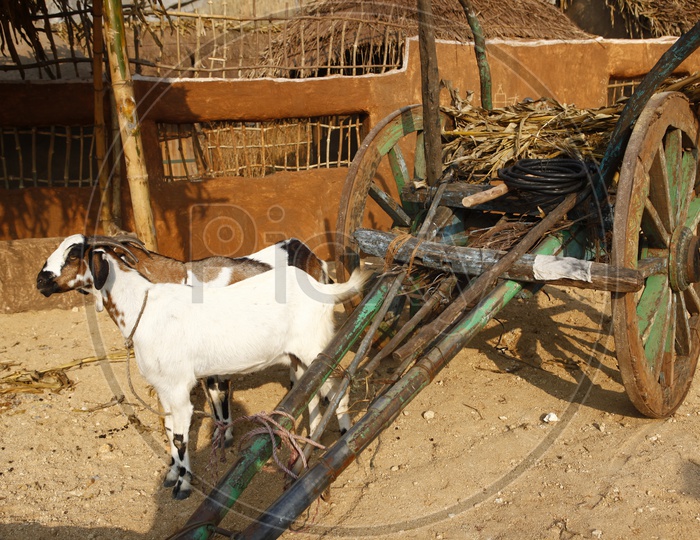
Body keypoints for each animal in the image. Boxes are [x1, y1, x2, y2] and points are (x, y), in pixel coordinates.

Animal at [41, 242, 368, 499]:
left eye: (73, 255)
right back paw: (309, 443)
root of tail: (324, 287)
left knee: (338, 384)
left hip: (317, 346)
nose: (40, 281)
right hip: (301, 358)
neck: (144, 308)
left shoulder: (178, 387)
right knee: (312, 391)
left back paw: (346, 438)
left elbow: (179, 437)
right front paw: (173, 475)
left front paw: (183, 486)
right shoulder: (164, 389)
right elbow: (169, 430)